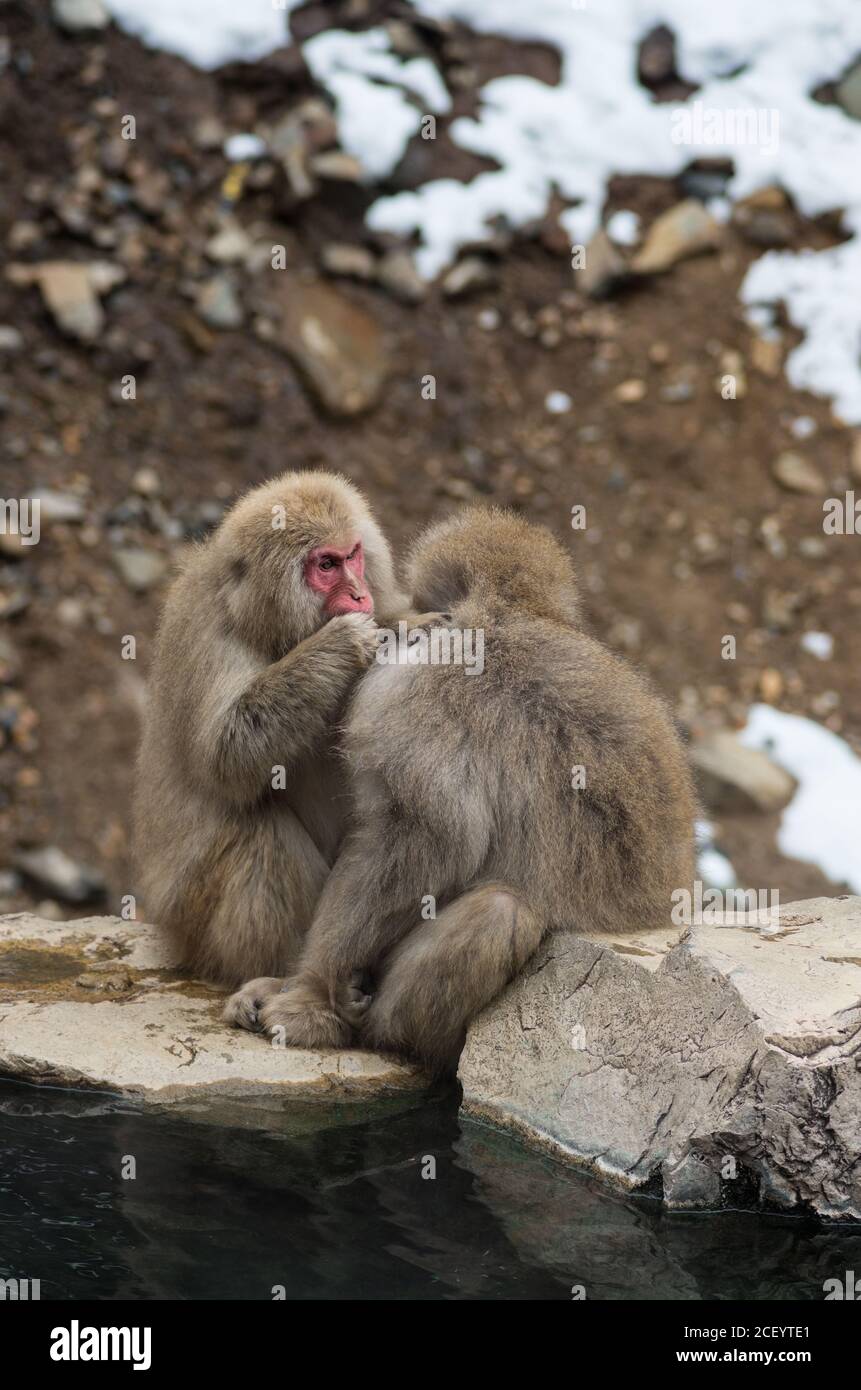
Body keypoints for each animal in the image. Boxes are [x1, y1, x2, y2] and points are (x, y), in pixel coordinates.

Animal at [133, 470, 408, 1004]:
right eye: (326, 565)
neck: (264, 623)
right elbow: (226, 753)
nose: (359, 595)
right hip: (192, 918)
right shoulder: (210, 635)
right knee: (259, 834)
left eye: (353, 555)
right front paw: (342, 643)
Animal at [231, 506, 697, 1073]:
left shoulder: (413, 693)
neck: (498, 616)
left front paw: (312, 992)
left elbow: (430, 839)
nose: (401, 620)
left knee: (501, 911)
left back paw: (364, 1025)